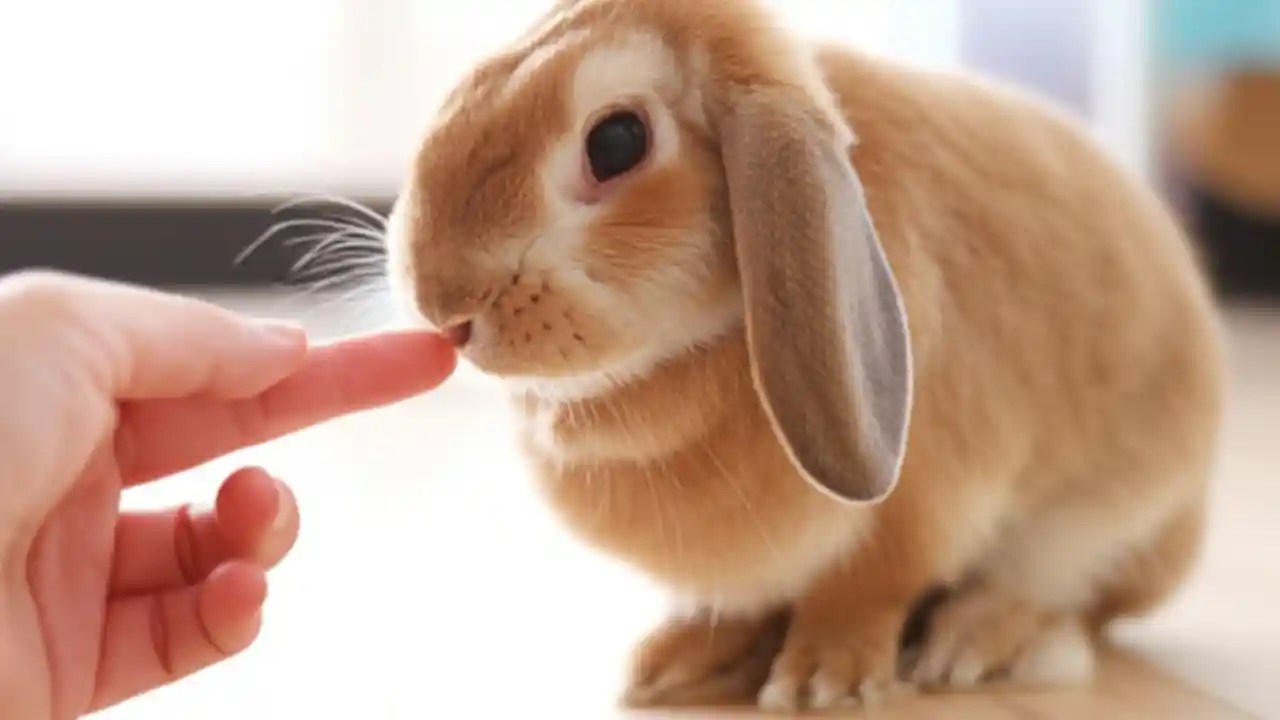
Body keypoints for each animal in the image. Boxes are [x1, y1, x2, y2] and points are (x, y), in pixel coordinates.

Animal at [383, 0, 1226, 711]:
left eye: (617, 142)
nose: (443, 308)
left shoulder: (913, 512)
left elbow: (863, 593)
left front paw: (826, 679)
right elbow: (740, 604)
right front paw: (673, 660)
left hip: (1103, 514)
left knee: (1069, 594)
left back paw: (972, 644)